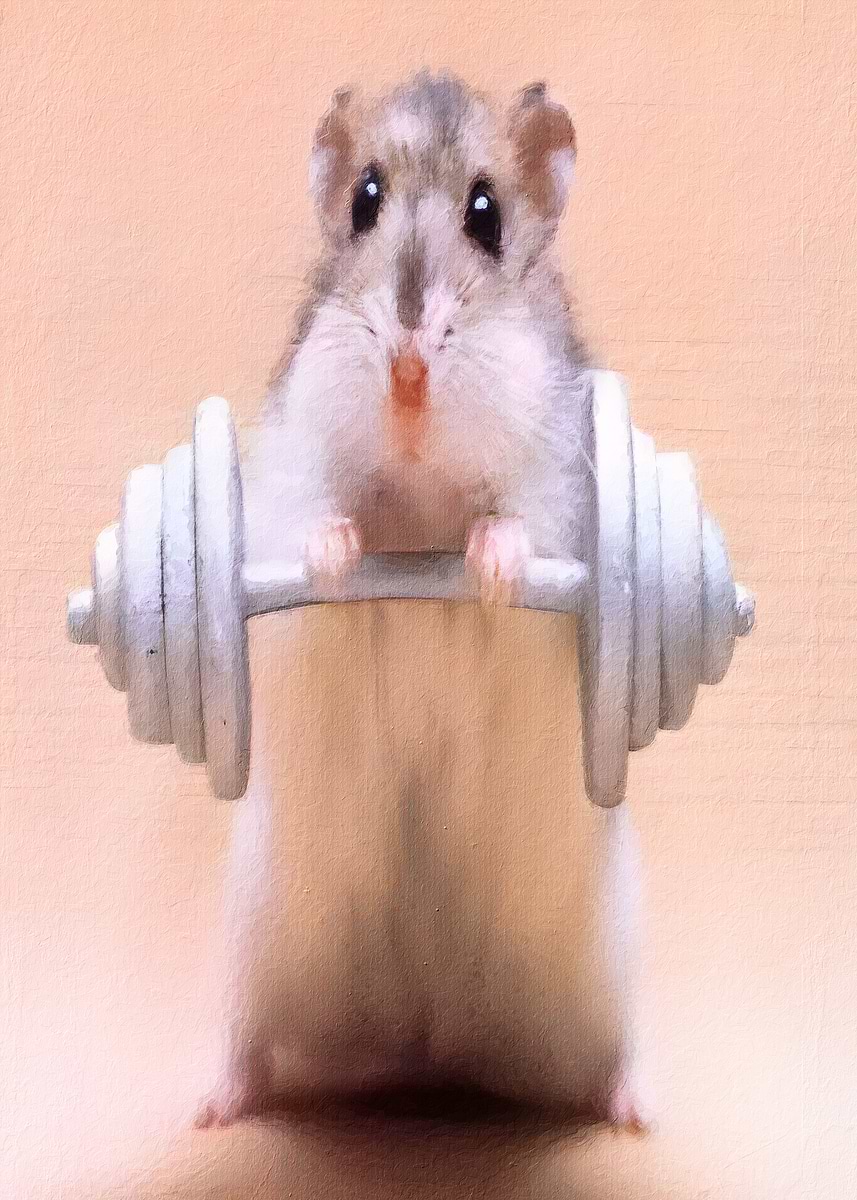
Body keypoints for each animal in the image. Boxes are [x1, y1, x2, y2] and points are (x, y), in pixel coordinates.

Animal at [194, 70, 647, 1134]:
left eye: (486, 215)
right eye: (364, 200)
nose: (405, 374)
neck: (420, 497)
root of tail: (428, 1037)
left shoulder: (557, 490)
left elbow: (517, 531)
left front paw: (490, 572)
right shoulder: (290, 476)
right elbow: (319, 531)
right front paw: (335, 558)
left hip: (608, 972)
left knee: (614, 1056)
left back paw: (636, 1112)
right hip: (250, 941)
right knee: (246, 1045)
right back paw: (209, 1108)